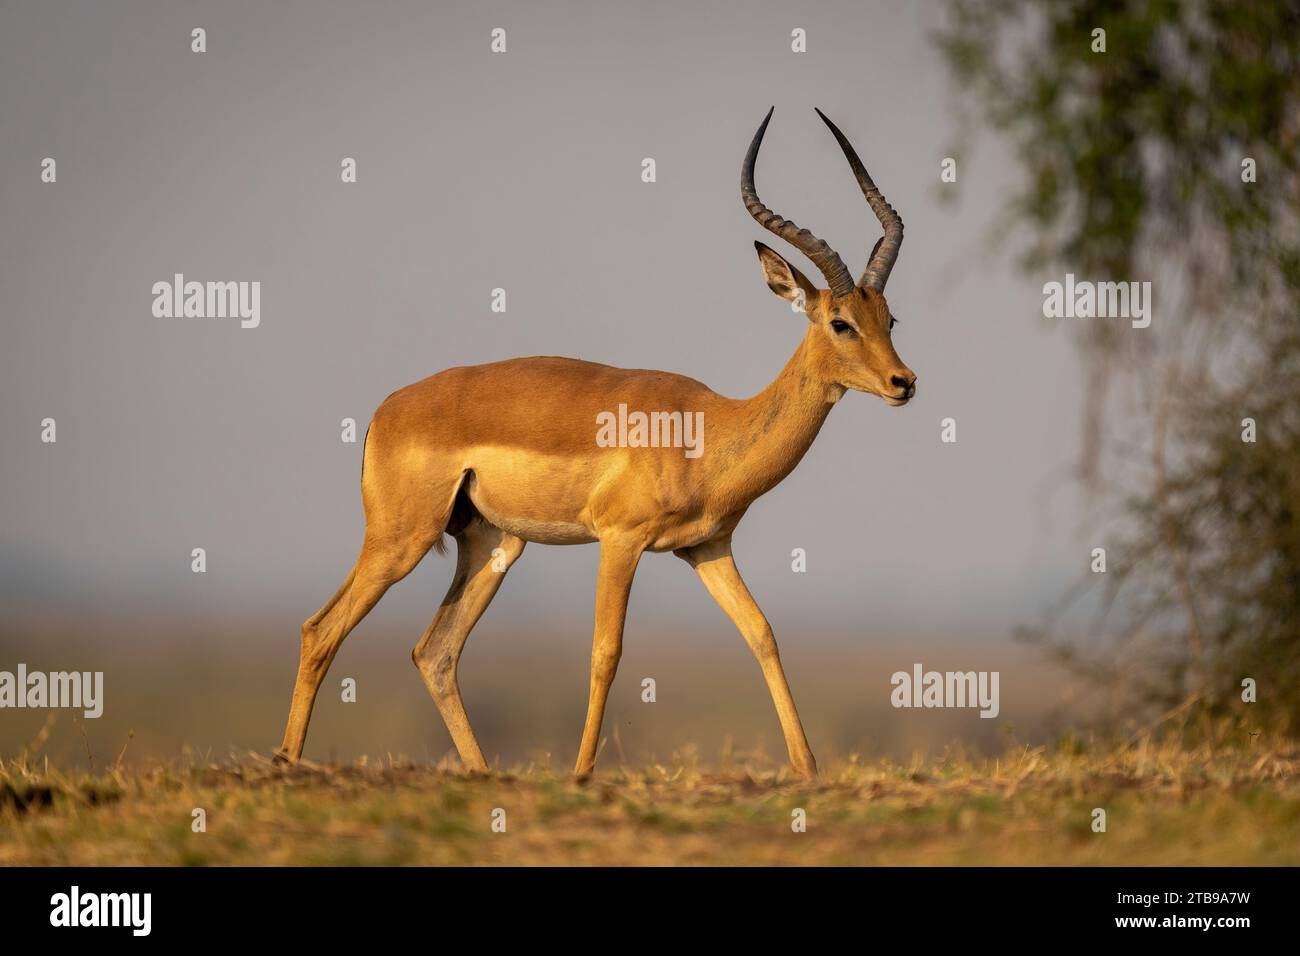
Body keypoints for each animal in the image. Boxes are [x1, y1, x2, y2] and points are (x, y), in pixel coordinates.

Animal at [274, 108, 915, 779]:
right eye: (840, 323)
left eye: (889, 319)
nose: (904, 382)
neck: (709, 431)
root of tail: (384, 411)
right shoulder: (620, 539)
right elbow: (606, 652)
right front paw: (581, 773)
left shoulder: (707, 547)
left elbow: (762, 633)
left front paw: (808, 771)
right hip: (400, 540)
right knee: (321, 630)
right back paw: (286, 762)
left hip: (493, 545)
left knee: (435, 651)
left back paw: (480, 772)